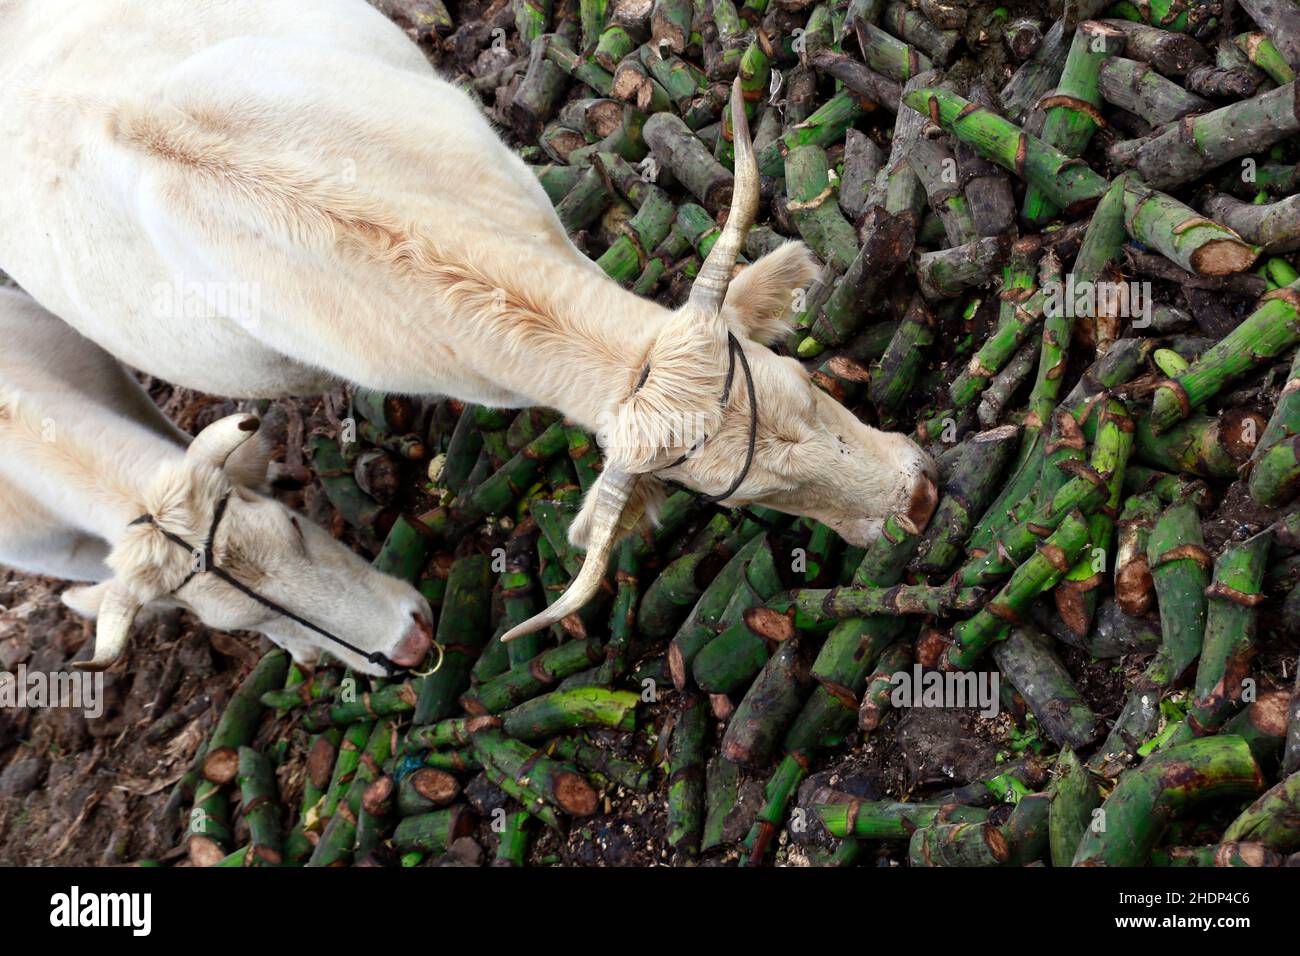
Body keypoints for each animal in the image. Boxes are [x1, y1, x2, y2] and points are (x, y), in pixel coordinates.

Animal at [0, 287, 433, 675]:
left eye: (294, 523)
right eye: (243, 623)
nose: (411, 645)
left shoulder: (124, 390)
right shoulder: (66, 558)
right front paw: (299, 647)